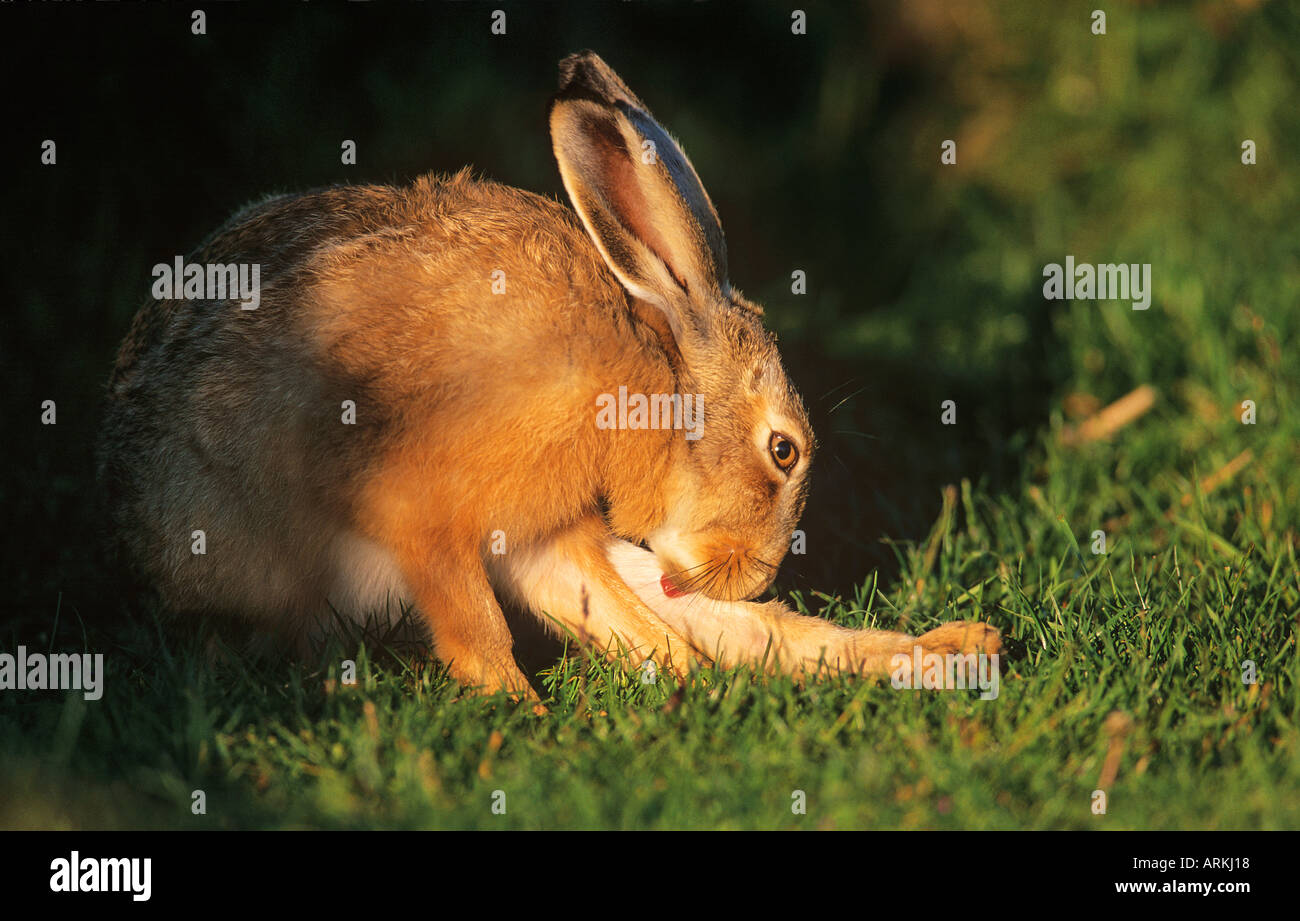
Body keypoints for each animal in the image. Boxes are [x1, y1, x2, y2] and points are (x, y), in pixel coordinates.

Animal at [96, 50, 1001, 697]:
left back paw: (960, 650)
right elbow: (478, 629)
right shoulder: (425, 511)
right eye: (784, 451)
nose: (763, 571)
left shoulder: (547, 531)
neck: (655, 395)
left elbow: (621, 613)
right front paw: (518, 710)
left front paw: (673, 680)